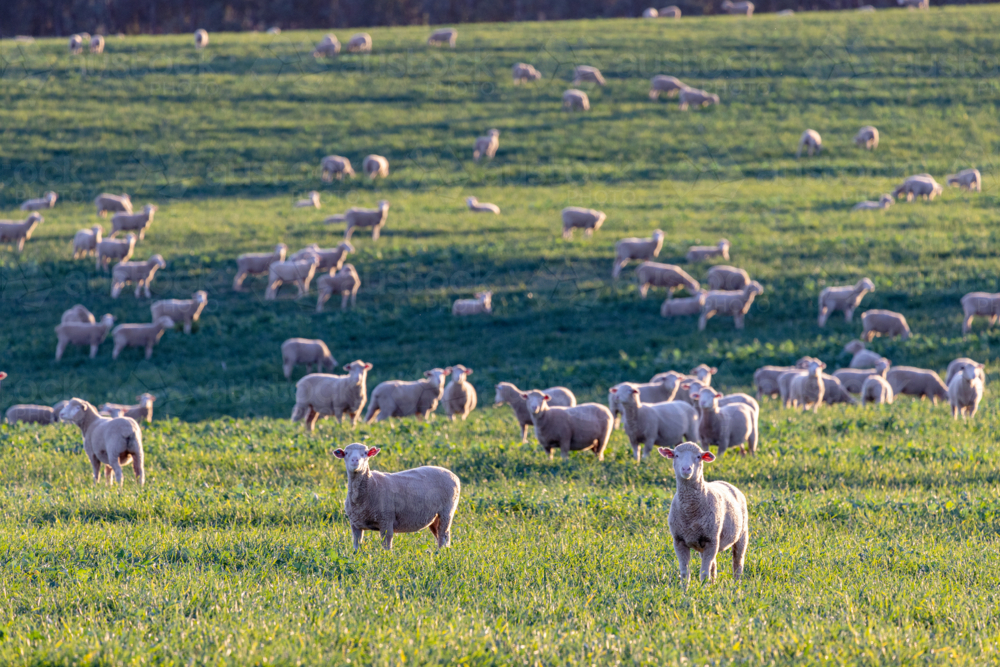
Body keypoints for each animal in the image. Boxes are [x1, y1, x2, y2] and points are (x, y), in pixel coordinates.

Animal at [658, 442, 748, 584]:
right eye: (676, 455)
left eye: (698, 457)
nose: (686, 469)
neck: (690, 511)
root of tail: (724, 482)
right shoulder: (679, 541)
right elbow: (685, 573)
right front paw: (685, 589)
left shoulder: (711, 540)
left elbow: (704, 574)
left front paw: (703, 589)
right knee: (713, 565)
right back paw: (713, 583)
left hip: (741, 535)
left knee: (738, 562)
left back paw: (736, 584)